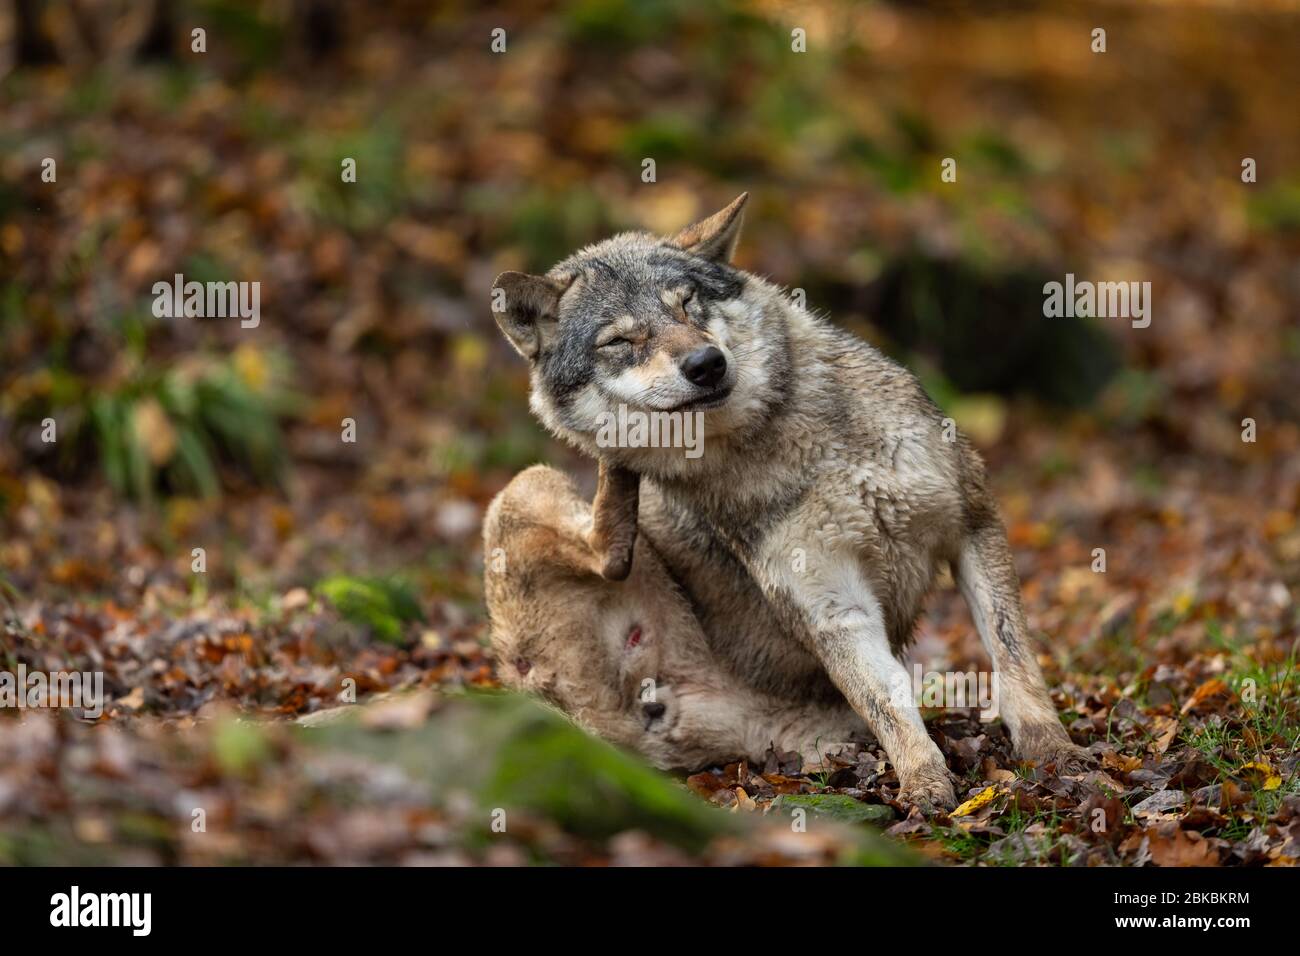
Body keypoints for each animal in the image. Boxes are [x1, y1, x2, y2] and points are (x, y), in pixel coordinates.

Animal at [490, 194, 1089, 809]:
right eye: (620, 341)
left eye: (689, 305)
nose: (705, 363)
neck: (797, 450)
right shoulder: (833, 606)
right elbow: (889, 704)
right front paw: (926, 787)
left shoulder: (974, 522)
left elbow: (1013, 659)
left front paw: (1053, 755)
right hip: (527, 484)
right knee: (606, 549)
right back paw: (616, 459)